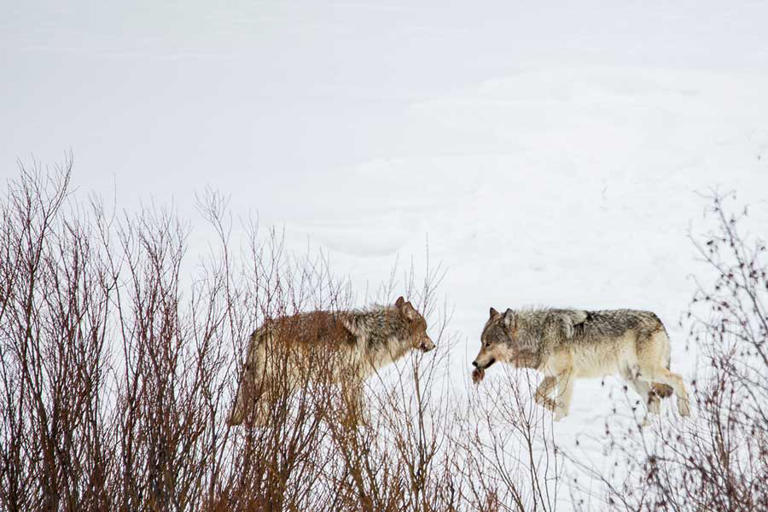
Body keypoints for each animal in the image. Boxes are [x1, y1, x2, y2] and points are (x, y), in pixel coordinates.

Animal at [228, 296, 435, 426]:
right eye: (425, 330)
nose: (434, 345)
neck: (378, 334)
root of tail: (259, 332)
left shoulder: (350, 381)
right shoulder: (351, 379)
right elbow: (357, 409)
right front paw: (361, 427)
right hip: (278, 381)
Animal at [471, 307, 690, 421]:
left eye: (487, 343)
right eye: (481, 342)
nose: (474, 363)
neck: (538, 335)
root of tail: (657, 318)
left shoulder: (566, 375)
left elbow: (561, 406)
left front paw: (559, 422)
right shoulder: (552, 375)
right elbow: (538, 397)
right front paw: (552, 407)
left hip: (647, 372)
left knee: (678, 379)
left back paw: (685, 414)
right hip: (633, 377)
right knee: (655, 400)